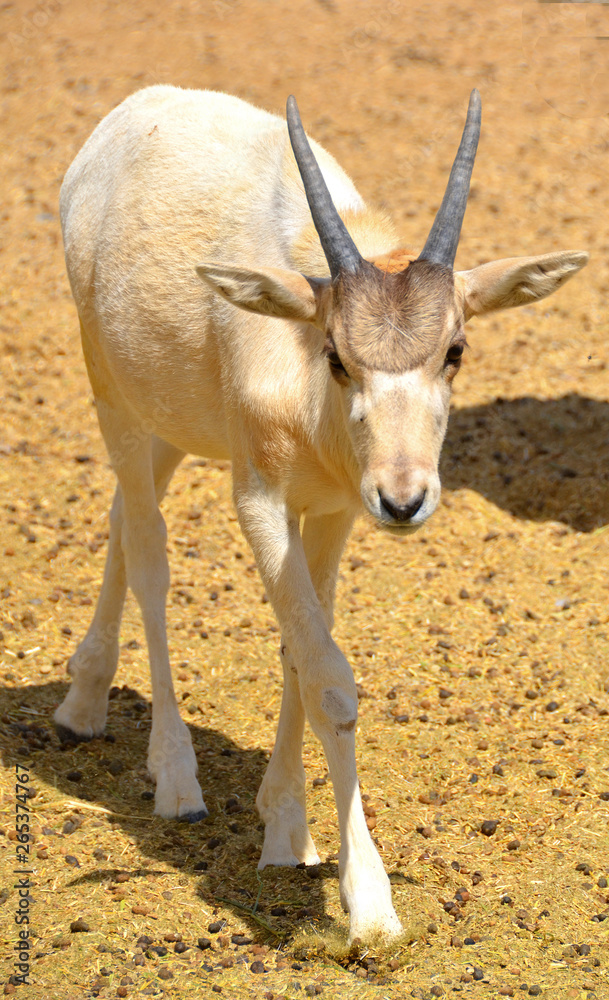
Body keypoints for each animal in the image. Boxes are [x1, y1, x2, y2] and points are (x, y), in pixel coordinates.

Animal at [55, 84, 587, 943]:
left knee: (119, 522)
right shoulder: (260, 500)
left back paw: (81, 702)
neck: (304, 381)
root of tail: (137, 109)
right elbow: (327, 674)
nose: (403, 499)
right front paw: (369, 908)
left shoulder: (336, 507)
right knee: (148, 551)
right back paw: (175, 778)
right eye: (338, 355)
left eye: (454, 350)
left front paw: (287, 830)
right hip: (114, 400)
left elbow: (299, 653)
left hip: (171, 421)